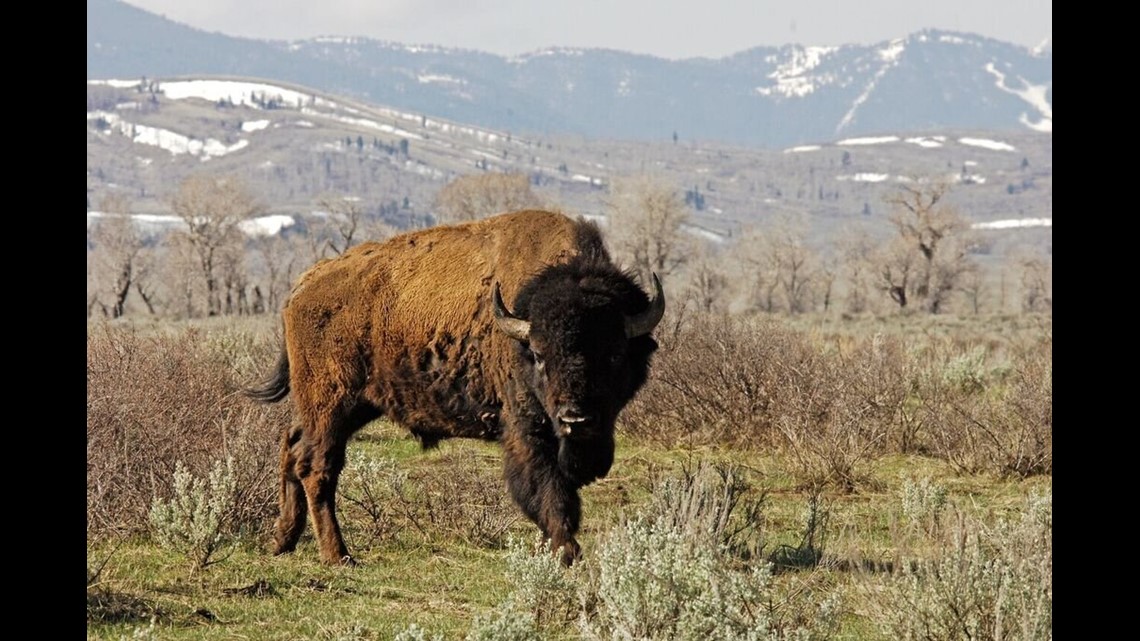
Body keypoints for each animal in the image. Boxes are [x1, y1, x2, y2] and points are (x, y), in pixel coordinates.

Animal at [244, 209, 664, 565]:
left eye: (614, 354)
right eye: (539, 354)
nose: (576, 419)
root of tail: (302, 287)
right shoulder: (527, 429)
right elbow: (549, 490)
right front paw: (567, 552)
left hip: (352, 406)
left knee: (292, 447)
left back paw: (282, 541)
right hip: (331, 403)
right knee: (317, 467)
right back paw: (338, 556)